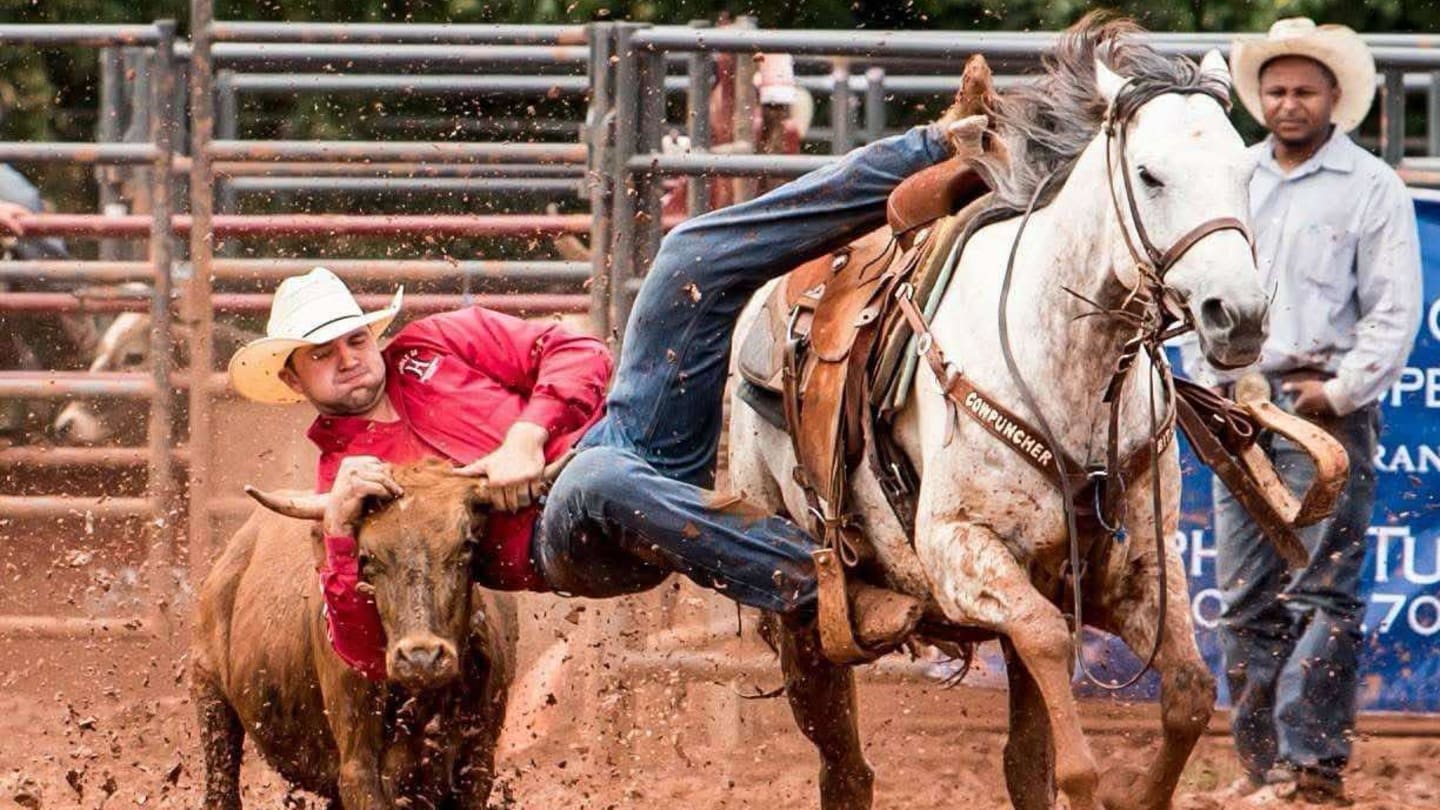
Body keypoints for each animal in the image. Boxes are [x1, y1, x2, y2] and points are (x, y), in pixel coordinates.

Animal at [727, 17, 1269, 810]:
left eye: (1245, 173)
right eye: (1150, 175)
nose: (1241, 316)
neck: (1070, 373)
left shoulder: (1141, 564)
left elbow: (1191, 694)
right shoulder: (962, 550)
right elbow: (1051, 662)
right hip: (793, 594)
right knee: (843, 761)